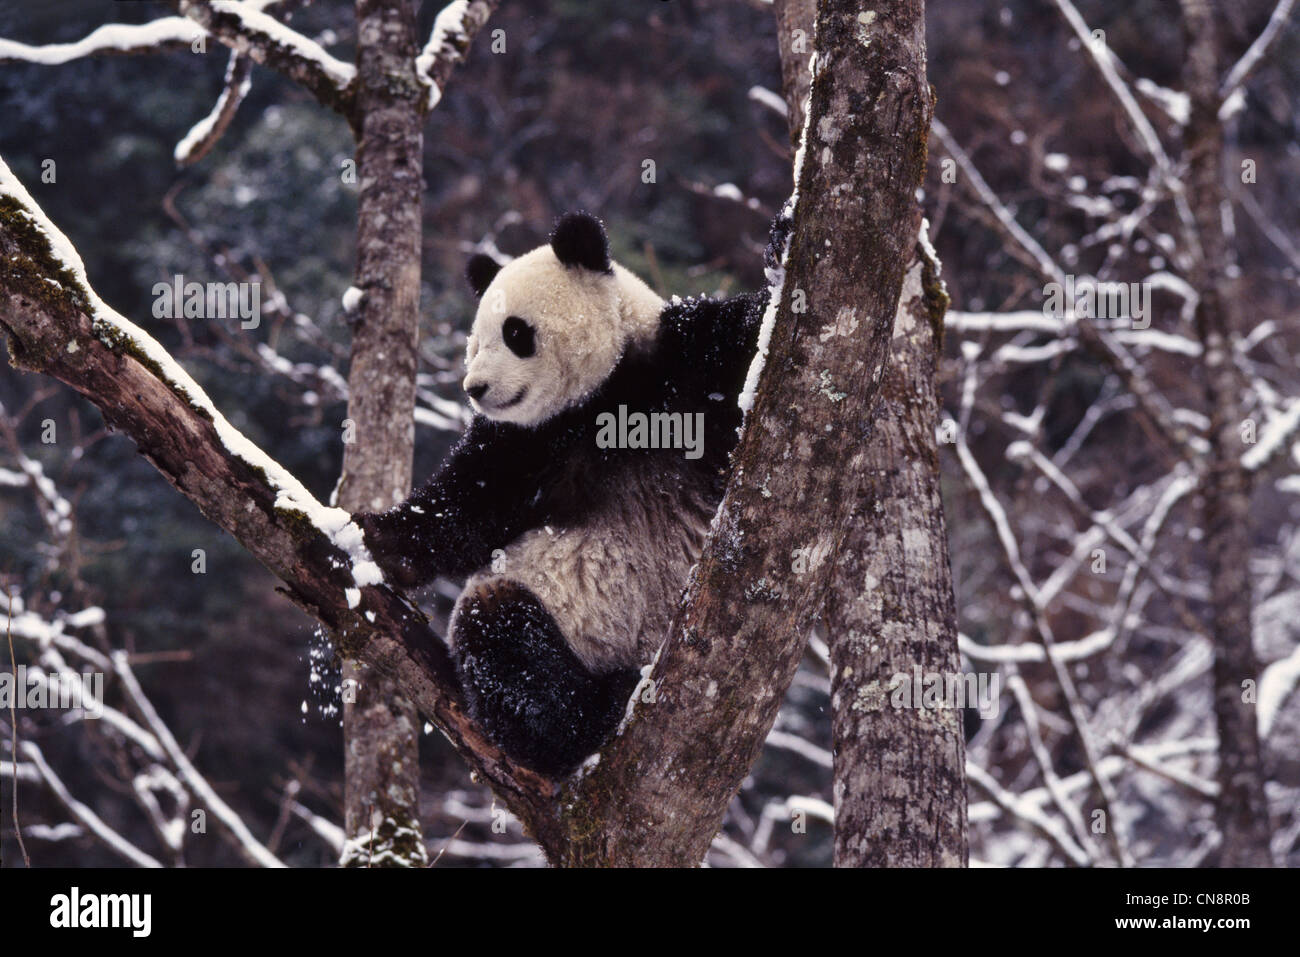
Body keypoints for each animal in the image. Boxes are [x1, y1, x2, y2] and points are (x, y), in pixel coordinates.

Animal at [356, 211, 770, 777]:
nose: (474, 388)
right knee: (505, 642)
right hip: (555, 616)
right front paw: (374, 536)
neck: (600, 397)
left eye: (514, 333)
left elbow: (745, 342)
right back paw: (589, 715)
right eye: (473, 344)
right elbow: (465, 507)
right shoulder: (526, 442)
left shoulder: (676, 367)